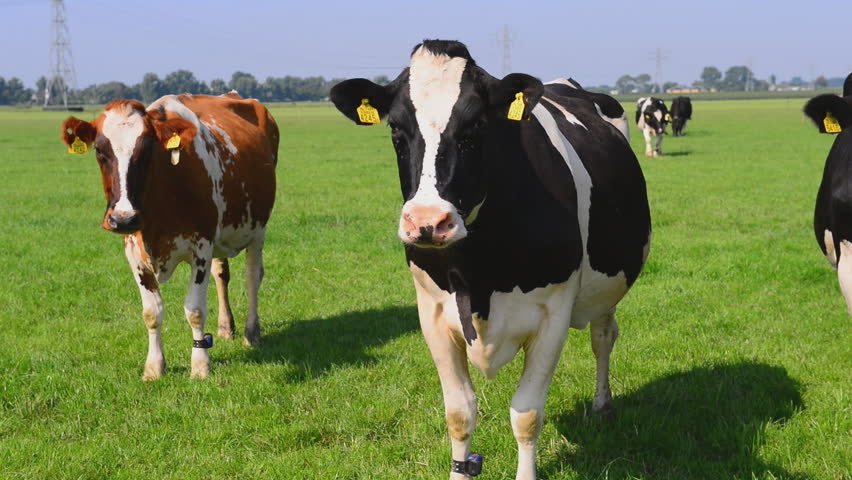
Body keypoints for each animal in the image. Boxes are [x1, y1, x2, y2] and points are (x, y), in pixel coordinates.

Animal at [60, 93, 279, 380]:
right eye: (99, 149)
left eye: (147, 148)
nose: (123, 218)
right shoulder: (134, 252)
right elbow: (152, 313)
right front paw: (154, 367)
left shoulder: (201, 248)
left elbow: (195, 310)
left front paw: (200, 365)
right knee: (222, 275)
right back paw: (225, 326)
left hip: (258, 230)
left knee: (253, 278)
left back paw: (251, 332)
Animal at [330, 40, 651, 480]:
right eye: (396, 129)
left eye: (477, 125)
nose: (428, 221)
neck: (477, 274)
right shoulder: (432, 314)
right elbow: (459, 413)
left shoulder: (554, 314)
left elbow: (527, 415)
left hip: (609, 284)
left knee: (603, 337)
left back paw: (603, 405)